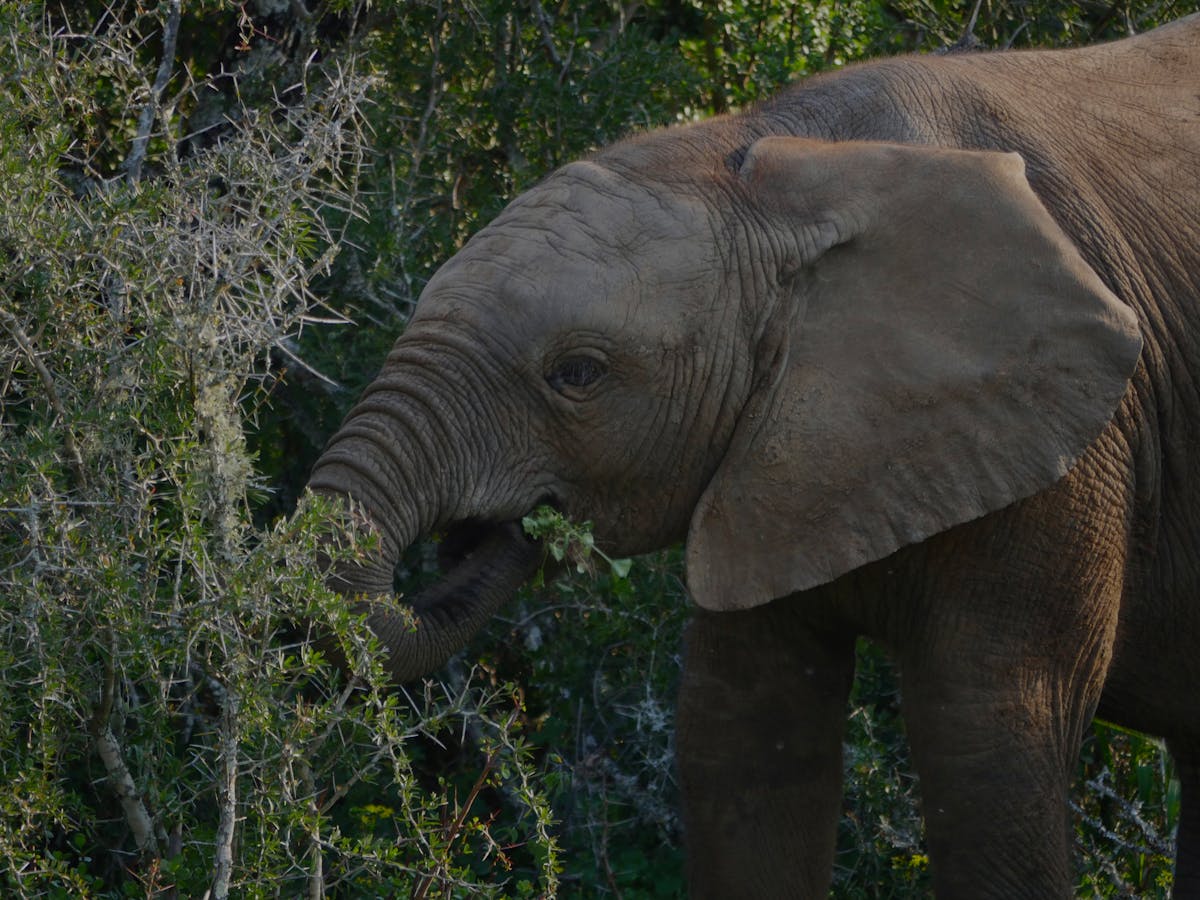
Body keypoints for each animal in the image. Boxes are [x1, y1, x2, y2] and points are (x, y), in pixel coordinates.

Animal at [306, 16, 1200, 898]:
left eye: (578, 374)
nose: (496, 536)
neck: (782, 166)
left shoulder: (1073, 446)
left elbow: (985, 759)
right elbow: (744, 740)